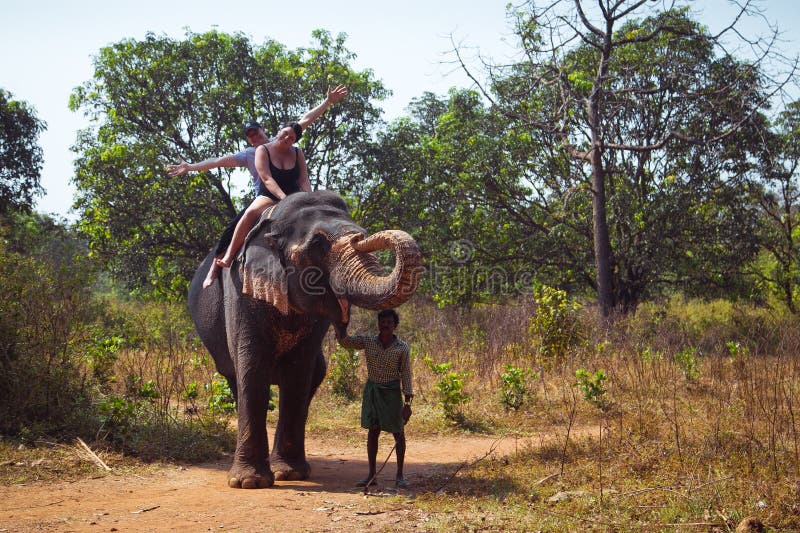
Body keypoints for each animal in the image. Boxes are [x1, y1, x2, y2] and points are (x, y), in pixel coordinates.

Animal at [188, 190, 421, 489]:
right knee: (235, 379)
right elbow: (253, 368)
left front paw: (290, 475)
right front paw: (249, 483)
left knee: (313, 375)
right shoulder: (241, 288)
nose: (360, 237)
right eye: (318, 243)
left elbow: (298, 373)